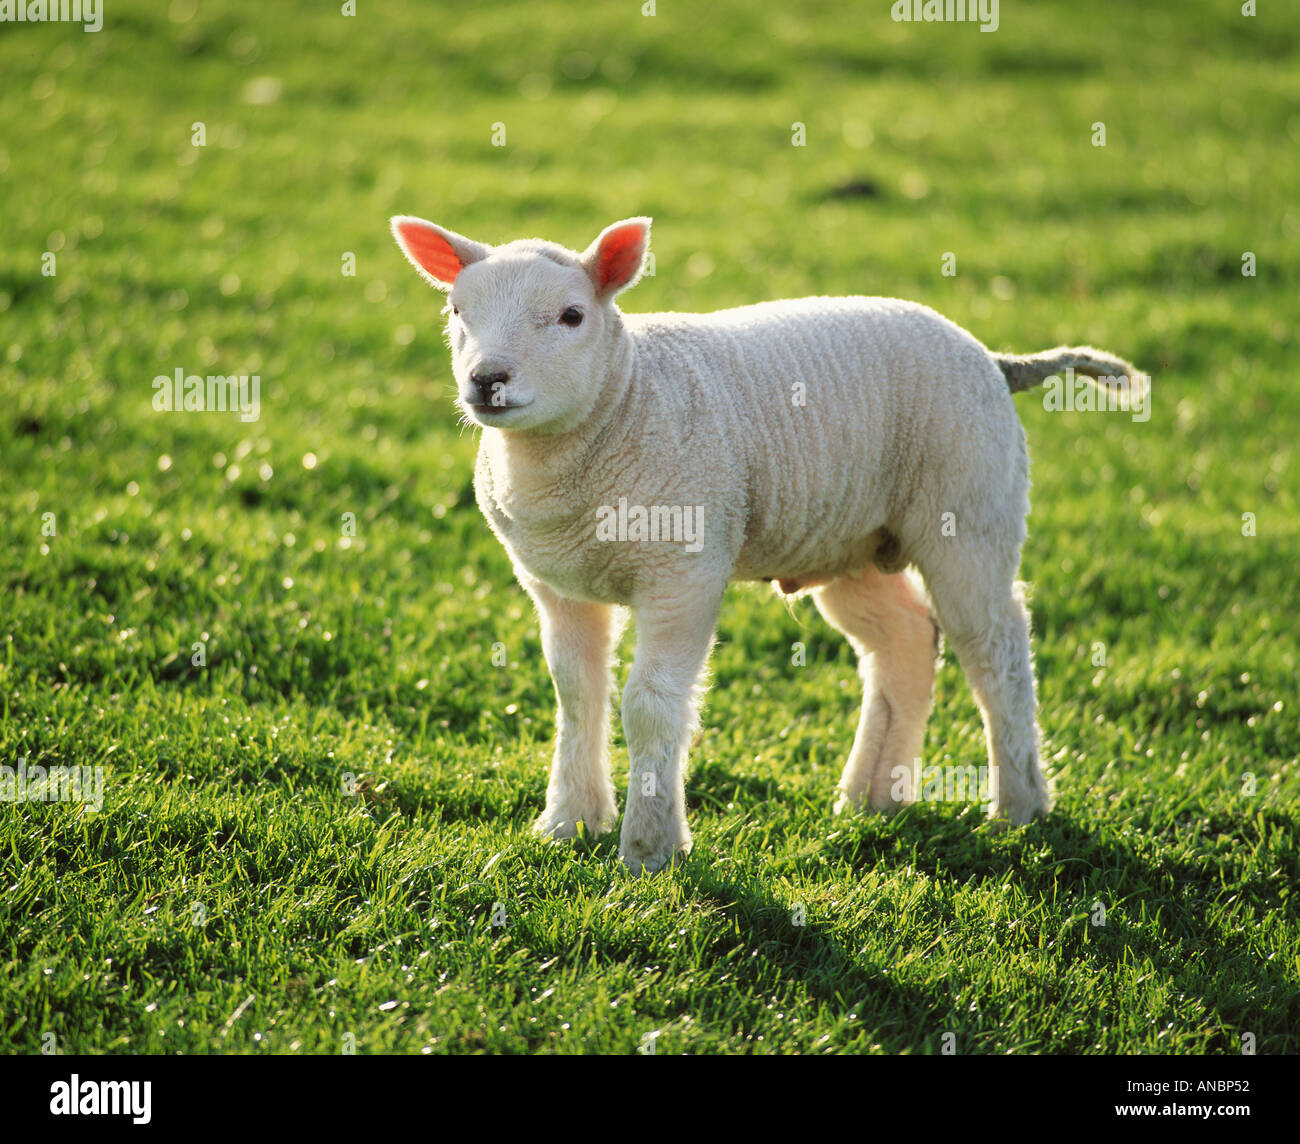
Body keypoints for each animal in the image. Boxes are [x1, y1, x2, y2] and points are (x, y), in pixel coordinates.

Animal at [390, 214, 1146, 874]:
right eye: (456, 311)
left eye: (572, 316)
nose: (487, 380)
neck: (623, 400)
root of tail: (996, 358)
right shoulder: (556, 584)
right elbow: (578, 695)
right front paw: (567, 823)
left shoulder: (684, 570)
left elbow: (650, 703)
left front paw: (650, 850)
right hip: (850, 538)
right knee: (904, 640)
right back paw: (873, 799)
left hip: (970, 509)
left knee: (996, 648)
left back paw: (1018, 808)